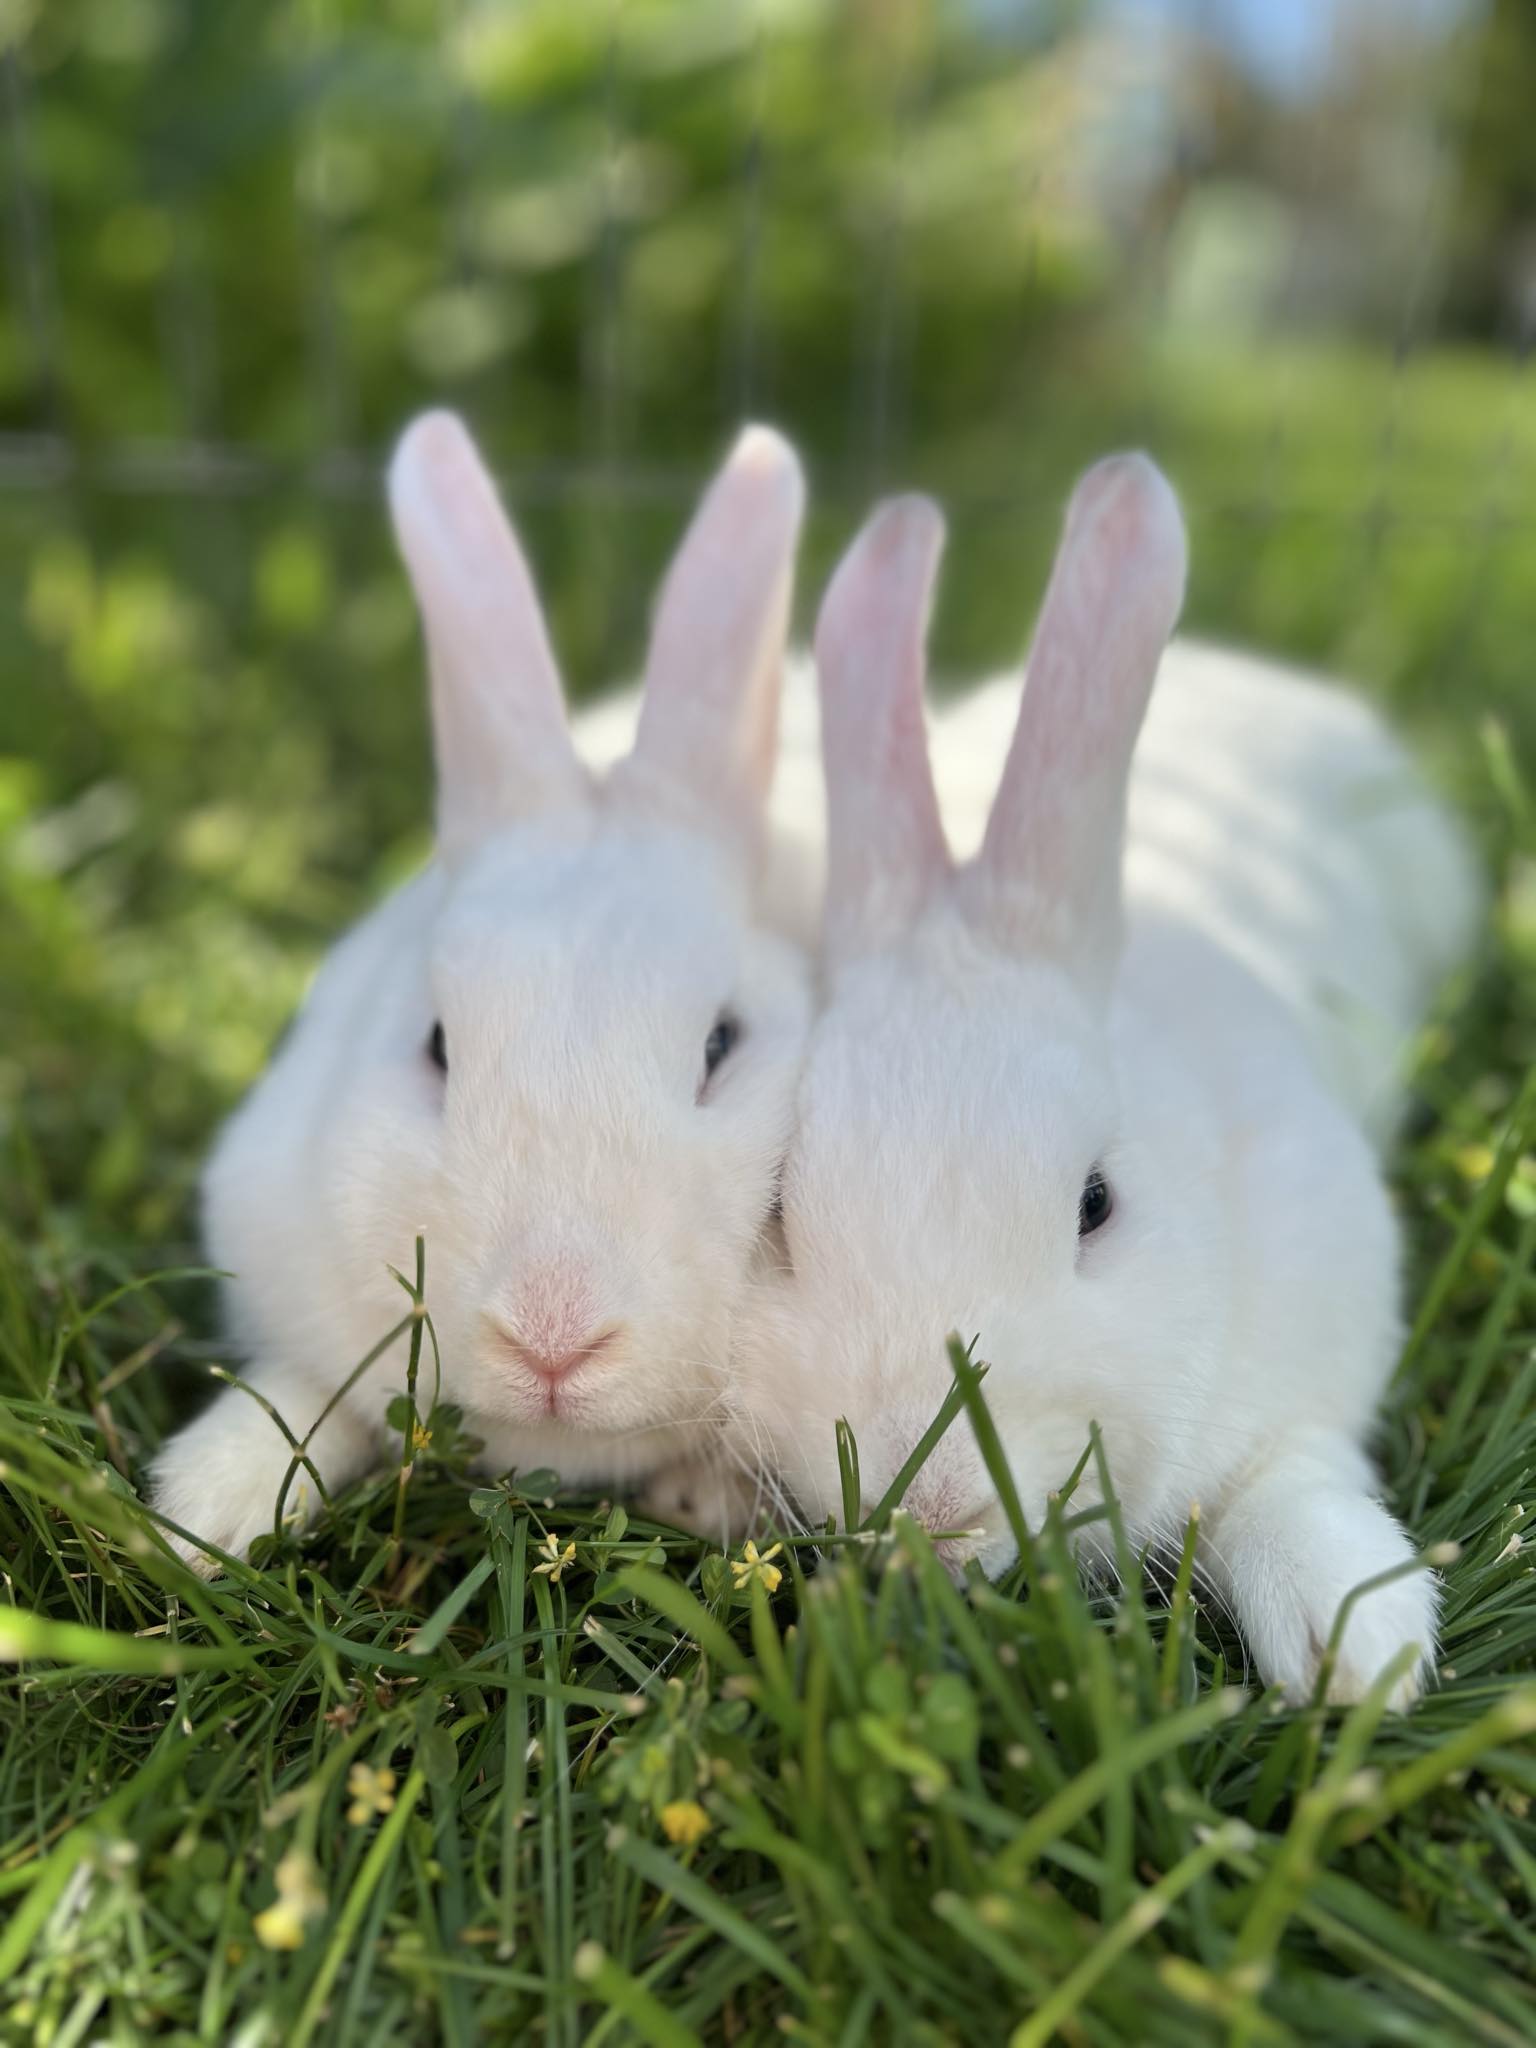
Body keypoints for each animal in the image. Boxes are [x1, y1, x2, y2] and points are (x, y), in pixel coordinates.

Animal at [150, 412, 817, 1571]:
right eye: (435, 1045)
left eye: (721, 1045)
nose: (551, 1335)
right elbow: (311, 1391)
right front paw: (199, 1507)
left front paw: (711, 1496)